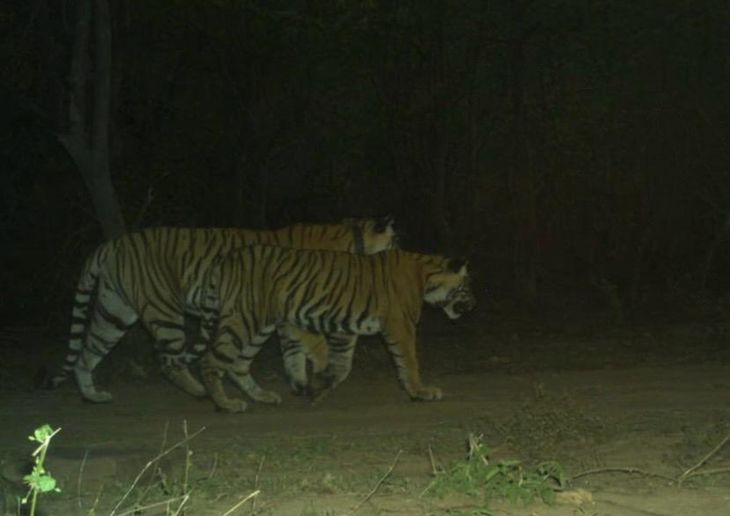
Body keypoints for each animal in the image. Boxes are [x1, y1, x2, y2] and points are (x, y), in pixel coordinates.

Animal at [48, 217, 398, 403]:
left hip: (114, 312)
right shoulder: (296, 312)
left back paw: (92, 395)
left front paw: (300, 385)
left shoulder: (283, 318)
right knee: (169, 360)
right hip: (165, 309)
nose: (401, 252)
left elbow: (292, 354)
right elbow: (315, 349)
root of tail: (113, 244)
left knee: (86, 354)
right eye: (394, 244)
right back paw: (201, 391)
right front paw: (318, 378)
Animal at [196, 245, 476, 412]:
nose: (475, 305)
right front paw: (421, 392)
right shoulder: (400, 325)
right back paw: (226, 403)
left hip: (259, 325)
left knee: (238, 365)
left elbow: (341, 367)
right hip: (243, 318)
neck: (425, 276)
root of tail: (226, 257)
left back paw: (262, 396)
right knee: (211, 360)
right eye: (467, 286)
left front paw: (317, 389)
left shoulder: (345, 329)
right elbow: (408, 362)